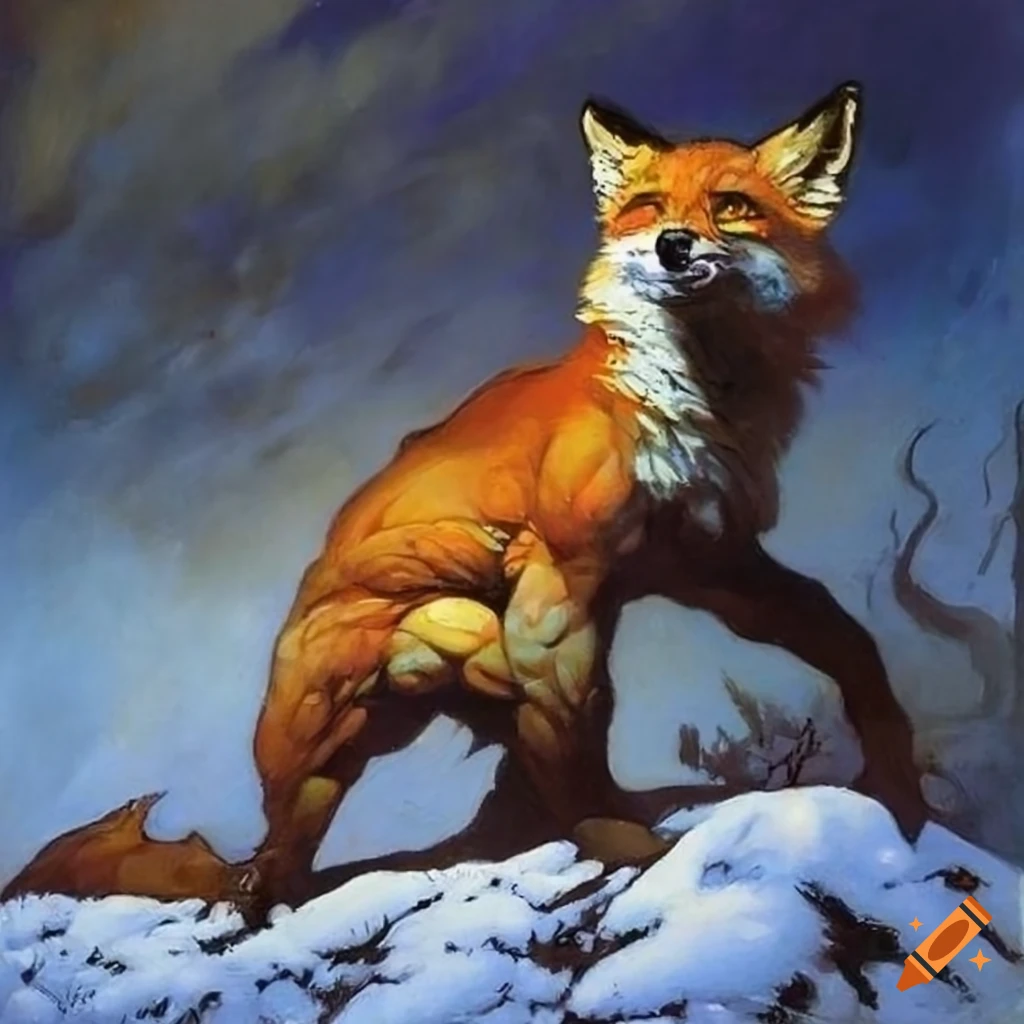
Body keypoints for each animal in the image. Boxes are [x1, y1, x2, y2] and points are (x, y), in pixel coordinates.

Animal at [4, 82, 928, 915]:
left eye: (732, 207)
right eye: (647, 207)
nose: (670, 245)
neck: (690, 398)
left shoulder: (713, 564)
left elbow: (846, 643)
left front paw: (900, 780)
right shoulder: (561, 581)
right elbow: (582, 742)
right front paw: (622, 841)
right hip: (408, 674)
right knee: (270, 876)